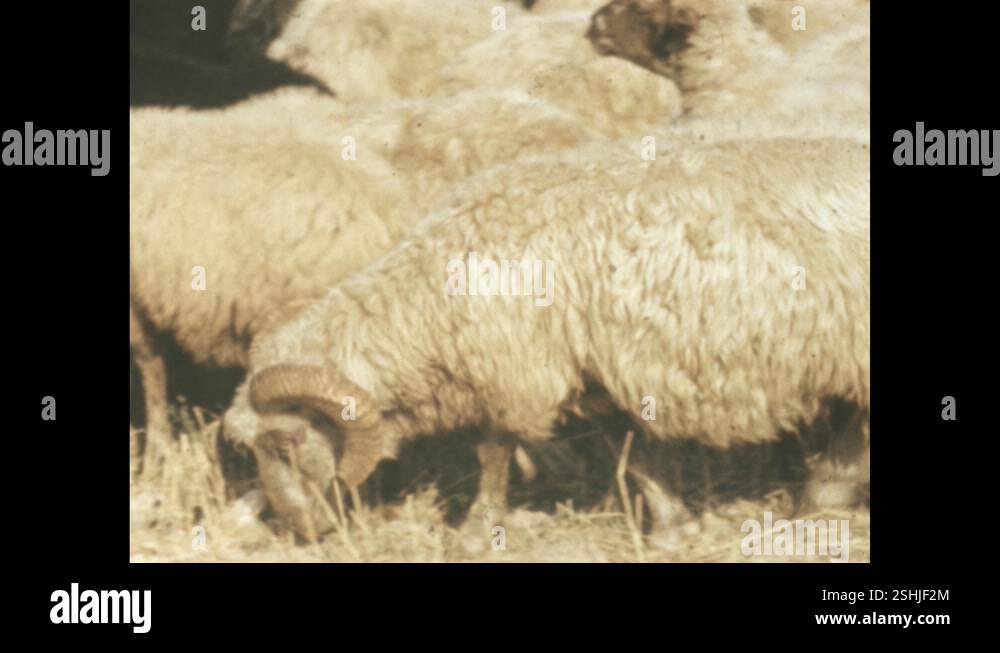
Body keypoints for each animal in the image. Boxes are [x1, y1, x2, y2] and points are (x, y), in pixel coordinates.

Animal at [223, 136, 870, 546]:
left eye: (285, 443)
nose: (301, 531)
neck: (426, 301)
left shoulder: (517, 369)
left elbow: (493, 450)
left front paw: (476, 531)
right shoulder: (597, 369)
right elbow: (633, 454)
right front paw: (673, 527)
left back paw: (825, 494)